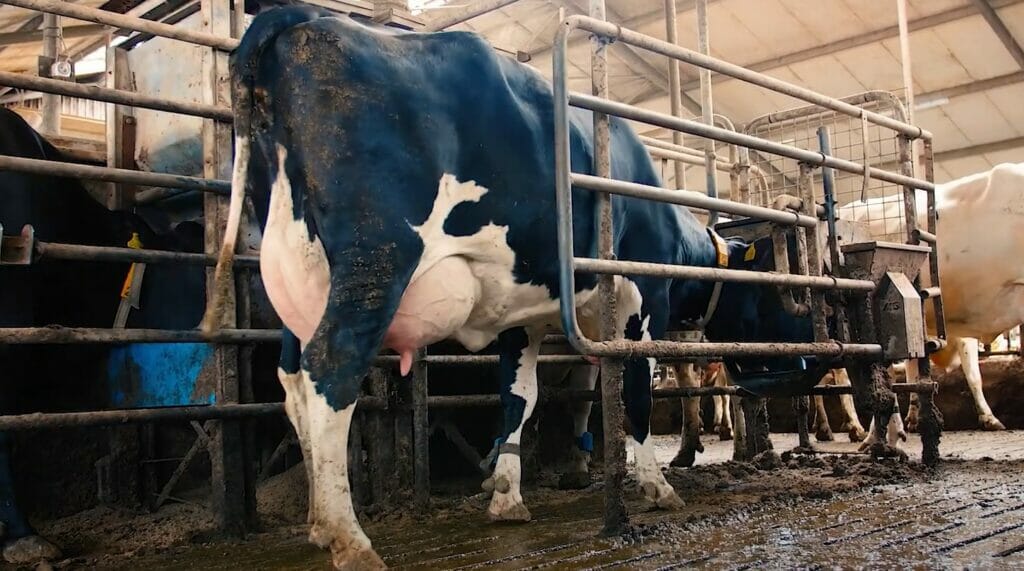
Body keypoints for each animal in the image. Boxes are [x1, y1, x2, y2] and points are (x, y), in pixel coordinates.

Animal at [203, 8, 845, 568]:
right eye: (778, 289)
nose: (811, 362)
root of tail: (302, 17)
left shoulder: (522, 318)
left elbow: (519, 398)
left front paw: (508, 497)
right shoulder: (641, 303)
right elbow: (635, 395)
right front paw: (656, 486)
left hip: (297, 277)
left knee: (292, 382)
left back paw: (316, 521)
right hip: (375, 261)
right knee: (330, 375)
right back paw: (348, 537)